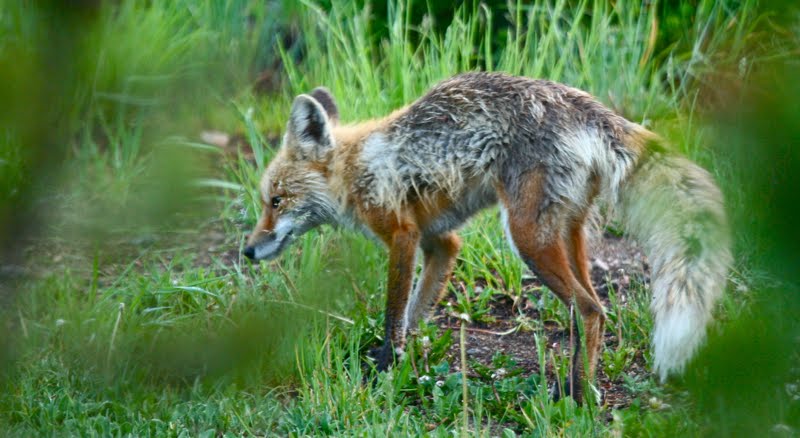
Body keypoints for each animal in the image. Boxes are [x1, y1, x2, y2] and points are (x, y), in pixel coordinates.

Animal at [242, 72, 731, 401]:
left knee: (590, 310)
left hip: (528, 238)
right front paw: (403, 364)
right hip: (566, 234)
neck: (354, 167)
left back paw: (577, 398)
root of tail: (586, 107)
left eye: (276, 201)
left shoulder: (401, 234)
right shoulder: (439, 242)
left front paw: (383, 367)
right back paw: (578, 386)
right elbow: (414, 313)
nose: (247, 250)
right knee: (593, 309)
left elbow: (393, 312)